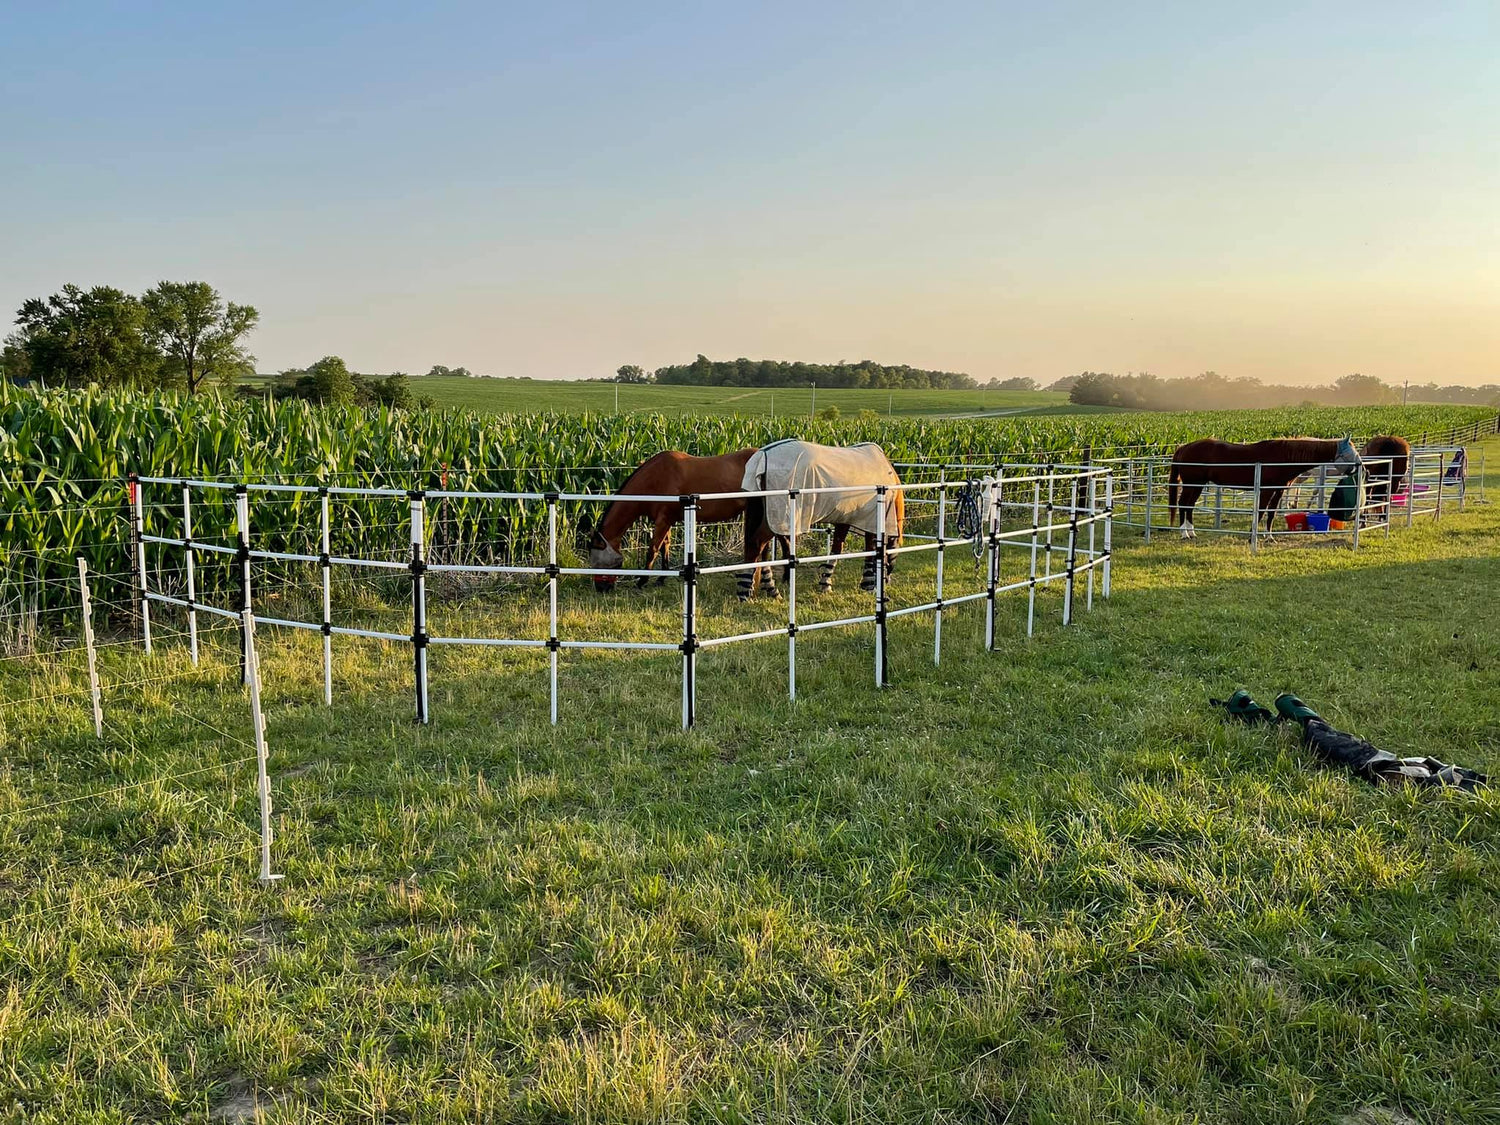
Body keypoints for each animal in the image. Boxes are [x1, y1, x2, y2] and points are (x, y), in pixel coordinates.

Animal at [585, 449, 756, 592]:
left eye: (599, 564)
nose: (601, 588)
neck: (655, 478)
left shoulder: (663, 521)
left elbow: (652, 550)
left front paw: (642, 581)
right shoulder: (666, 521)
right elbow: (665, 547)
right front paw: (661, 579)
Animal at [738, 440, 905, 600]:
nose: (887, 581)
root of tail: (762, 455)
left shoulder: (849, 519)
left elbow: (840, 548)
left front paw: (827, 583)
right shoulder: (871, 520)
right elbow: (869, 549)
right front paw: (869, 584)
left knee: (760, 550)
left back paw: (769, 590)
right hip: (777, 519)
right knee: (756, 544)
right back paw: (746, 593)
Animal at [1167, 436, 1362, 539]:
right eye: (1349, 453)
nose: (1361, 466)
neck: (1283, 457)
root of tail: (1184, 447)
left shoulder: (1279, 490)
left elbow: (1271, 513)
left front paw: (1269, 536)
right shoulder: (1267, 490)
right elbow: (1261, 511)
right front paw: (1252, 536)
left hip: (1197, 485)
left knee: (1189, 506)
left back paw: (1192, 532)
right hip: (1192, 484)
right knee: (1183, 504)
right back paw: (1184, 533)